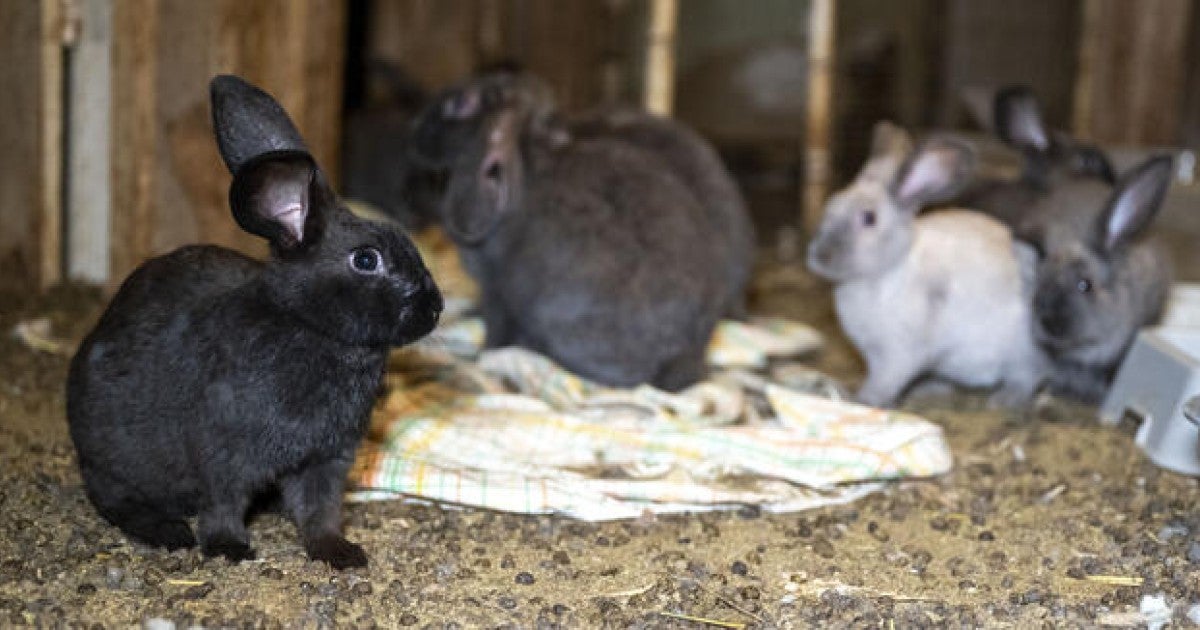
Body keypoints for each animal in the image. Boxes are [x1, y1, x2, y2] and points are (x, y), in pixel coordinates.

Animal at [66, 75, 443, 569]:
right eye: (365, 259)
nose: (435, 307)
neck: (310, 325)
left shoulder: (324, 460)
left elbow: (320, 510)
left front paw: (339, 553)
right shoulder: (224, 452)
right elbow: (224, 504)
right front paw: (230, 548)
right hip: (110, 458)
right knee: (112, 498)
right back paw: (168, 531)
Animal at [409, 71, 740, 391]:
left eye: (460, 103)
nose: (417, 130)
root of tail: (684, 355)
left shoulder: (495, 289)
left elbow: (496, 327)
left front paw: (484, 354)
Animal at [807, 121, 1047, 408]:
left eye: (869, 218)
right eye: (830, 206)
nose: (820, 256)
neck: (886, 273)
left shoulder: (899, 353)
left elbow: (886, 380)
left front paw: (865, 399)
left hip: (1021, 353)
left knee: (1028, 377)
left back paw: (1004, 400)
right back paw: (930, 389)